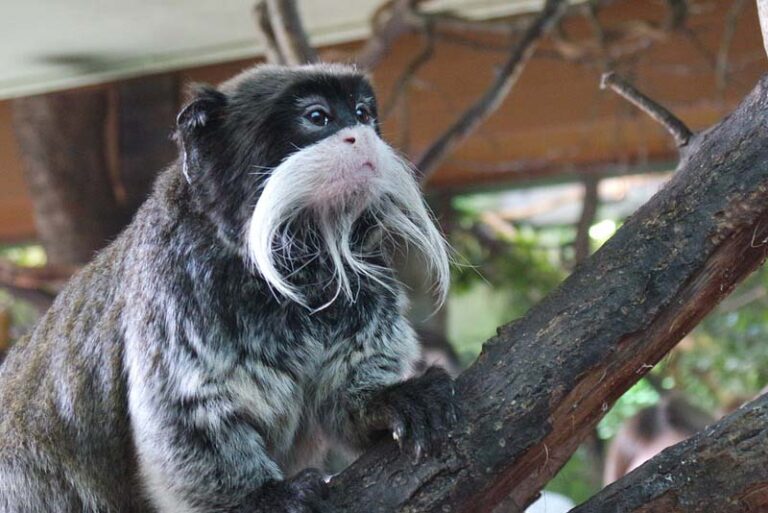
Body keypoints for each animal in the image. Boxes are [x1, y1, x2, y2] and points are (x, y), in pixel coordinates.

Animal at [0, 63, 457, 513]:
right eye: (318, 117)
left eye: (362, 113)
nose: (360, 136)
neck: (287, 262)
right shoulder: (175, 285)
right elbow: (189, 411)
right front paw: (260, 497)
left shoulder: (364, 273)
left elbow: (343, 392)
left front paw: (388, 400)